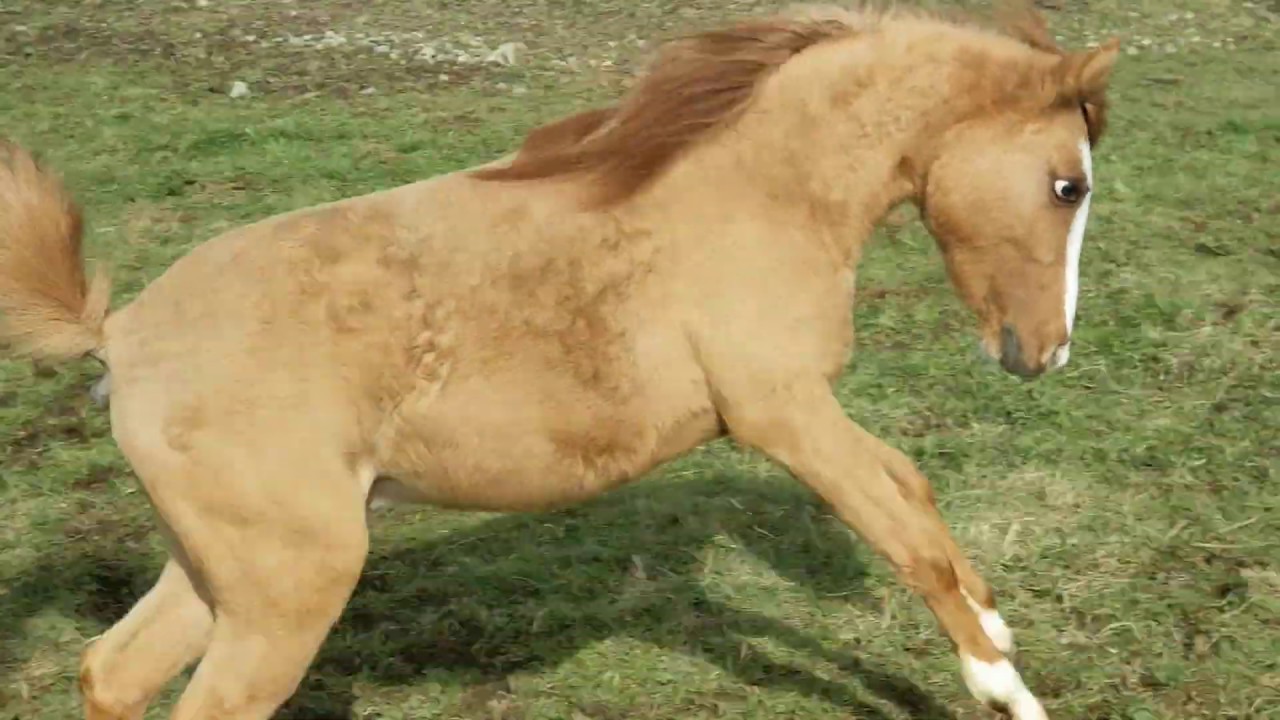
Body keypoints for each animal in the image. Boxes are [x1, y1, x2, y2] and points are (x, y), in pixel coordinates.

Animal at [0, 3, 1120, 718]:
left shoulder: (804, 412)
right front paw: (1003, 689)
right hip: (288, 592)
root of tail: (121, 337)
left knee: (111, 672)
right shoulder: (781, 413)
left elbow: (911, 488)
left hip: (223, 572)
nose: (1045, 353)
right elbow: (903, 534)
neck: (755, 198)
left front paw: (998, 626)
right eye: (1066, 185)